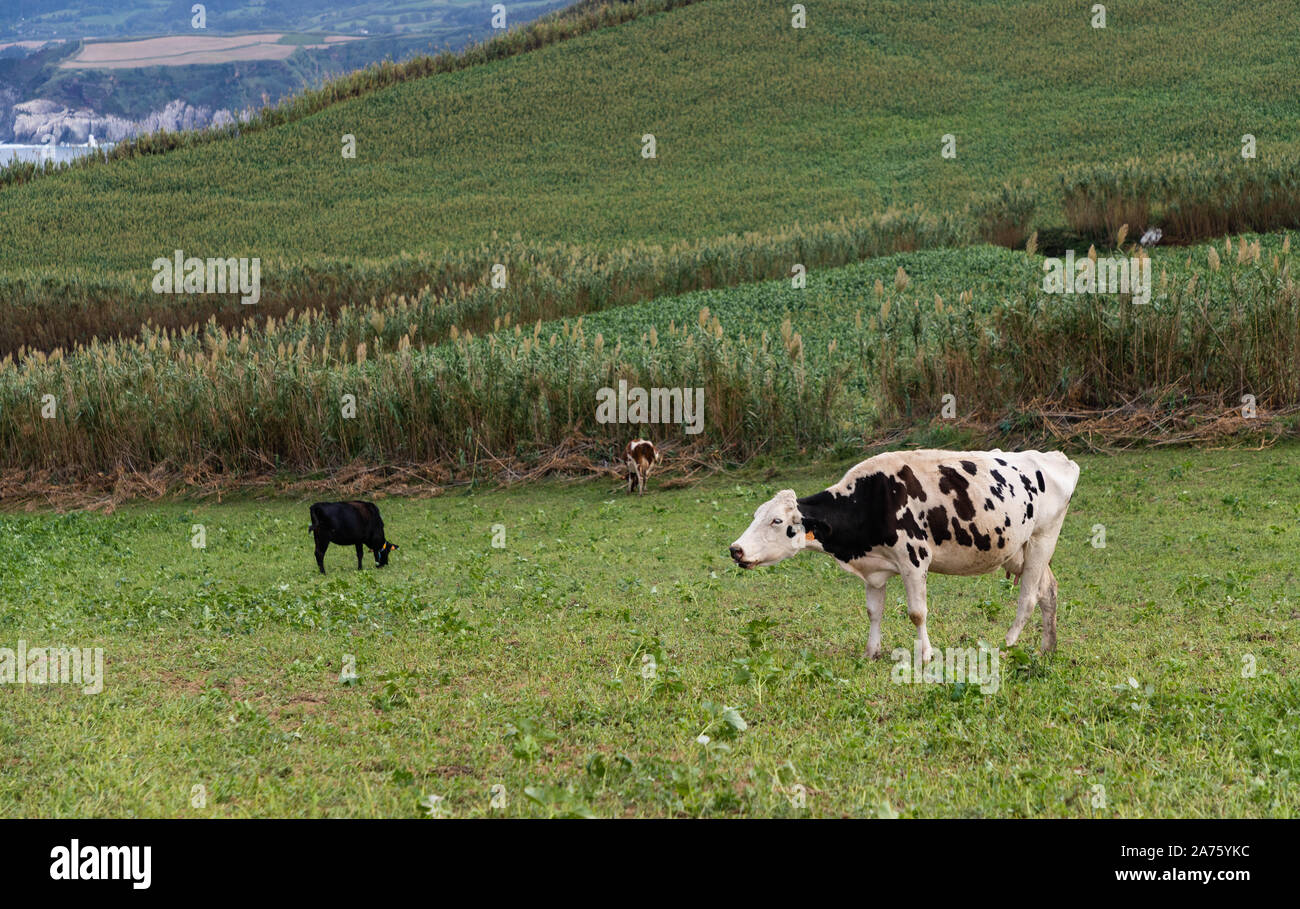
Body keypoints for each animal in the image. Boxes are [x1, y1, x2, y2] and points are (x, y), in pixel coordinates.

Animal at [728, 449, 1080, 662]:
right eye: (756, 515)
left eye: (776, 521)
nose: (736, 549)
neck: (871, 498)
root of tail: (1053, 456)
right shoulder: (874, 571)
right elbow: (873, 612)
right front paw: (871, 652)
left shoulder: (914, 560)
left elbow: (917, 613)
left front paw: (925, 654)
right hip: (1019, 549)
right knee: (1048, 592)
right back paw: (1048, 647)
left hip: (1042, 539)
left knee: (1029, 598)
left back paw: (1007, 644)